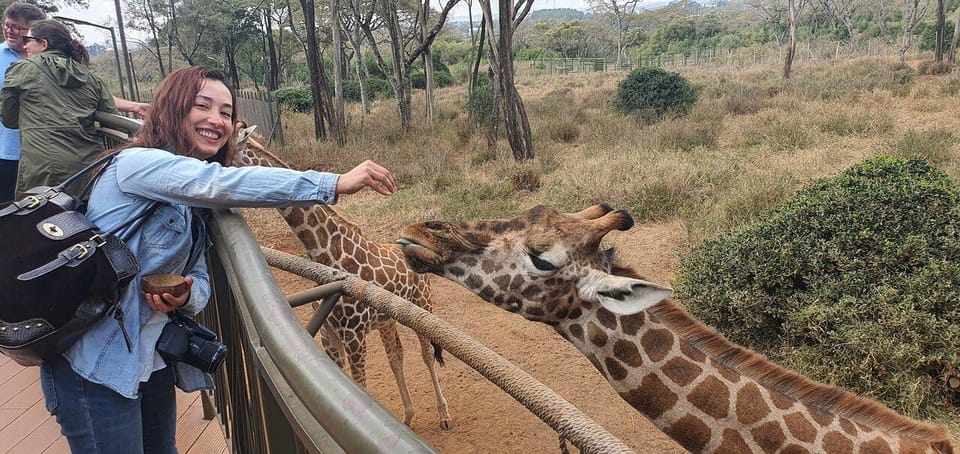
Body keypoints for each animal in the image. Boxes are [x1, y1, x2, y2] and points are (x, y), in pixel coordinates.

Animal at [234, 126, 453, 430]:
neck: (325, 255)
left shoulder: (354, 335)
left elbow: (360, 386)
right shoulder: (330, 335)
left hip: (423, 306)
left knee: (427, 354)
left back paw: (444, 415)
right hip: (386, 320)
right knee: (396, 355)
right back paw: (407, 417)